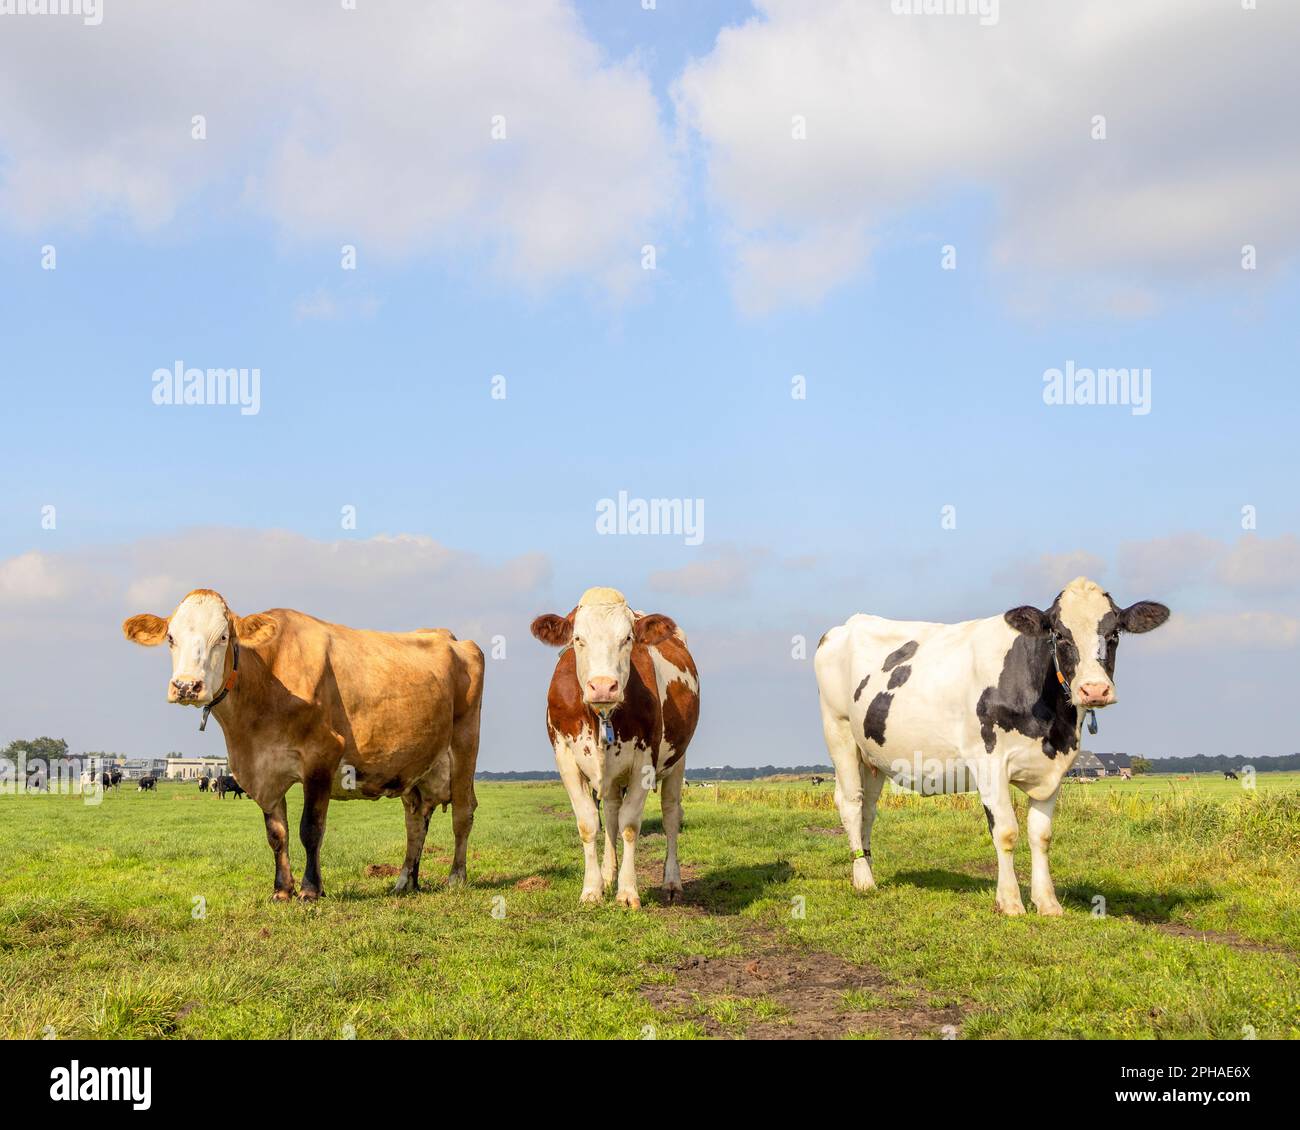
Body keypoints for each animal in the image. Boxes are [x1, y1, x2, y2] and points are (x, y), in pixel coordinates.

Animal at [123, 588, 485, 900]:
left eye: (223, 637)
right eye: (171, 638)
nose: (186, 686)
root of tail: (452, 638)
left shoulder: (322, 755)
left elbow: (310, 829)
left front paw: (311, 890)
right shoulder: (261, 770)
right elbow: (276, 834)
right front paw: (282, 890)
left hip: (465, 747)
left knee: (463, 813)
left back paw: (455, 877)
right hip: (413, 764)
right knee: (415, 820)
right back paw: (405, 881)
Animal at [531, 588, 699, 909]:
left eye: (628, 638)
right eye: (577, 638)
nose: (602, 686)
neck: (602, 716)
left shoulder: (645, 761)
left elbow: (630, 825)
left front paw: (628, 892)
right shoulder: (565, 757)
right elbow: (589, 824)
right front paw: (592, 889)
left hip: (678, 760)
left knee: (671, 815)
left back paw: (672, 883)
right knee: (609, 814)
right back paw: (608, 875)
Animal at [814, 577, 1169, 916]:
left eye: (1114, 633)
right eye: (1059, 634)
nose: (1094, 690)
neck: (1050, 725)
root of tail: (843, 627)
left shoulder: (1054, 771)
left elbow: (1041, 835)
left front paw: (1047, 903)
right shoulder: (988, 762)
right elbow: (1007, 832)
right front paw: (1010, 902)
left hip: (872, 755)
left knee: (868, 808)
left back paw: (867, 867)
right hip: (839, 731)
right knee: (851, 803)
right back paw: (863, 880)